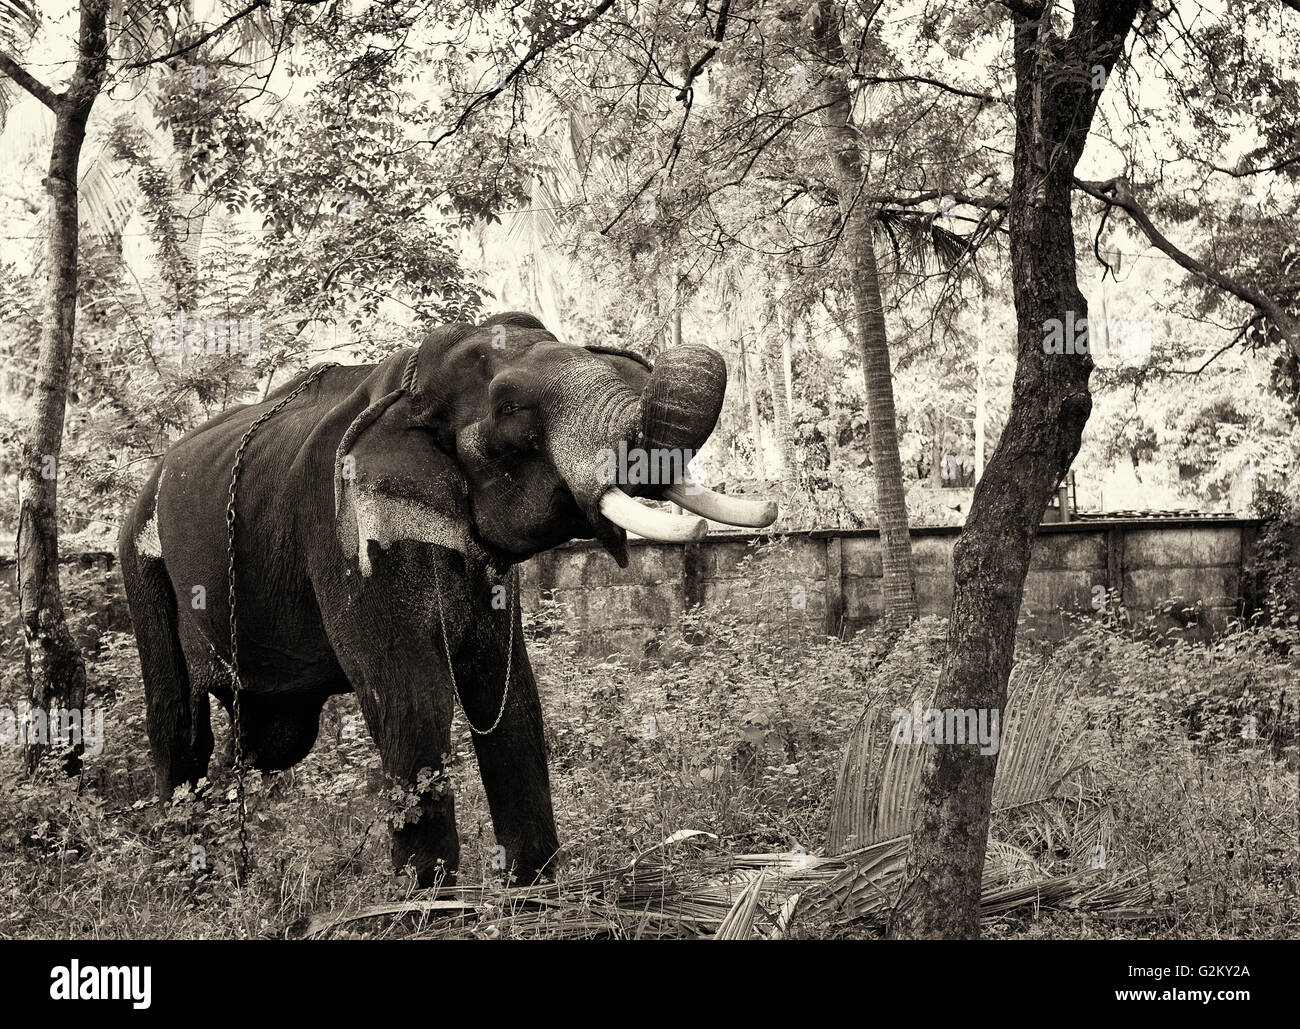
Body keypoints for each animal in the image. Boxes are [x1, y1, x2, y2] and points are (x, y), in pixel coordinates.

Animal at [117, 312, 776, 886]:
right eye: (510, 410)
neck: (409, 390)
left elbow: (510, 692)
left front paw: (532, 894)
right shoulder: (338, 530)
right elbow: (412, 697)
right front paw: (431, 909)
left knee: (264, 743)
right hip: (138, 562)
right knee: (180, 727)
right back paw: (186, 881)